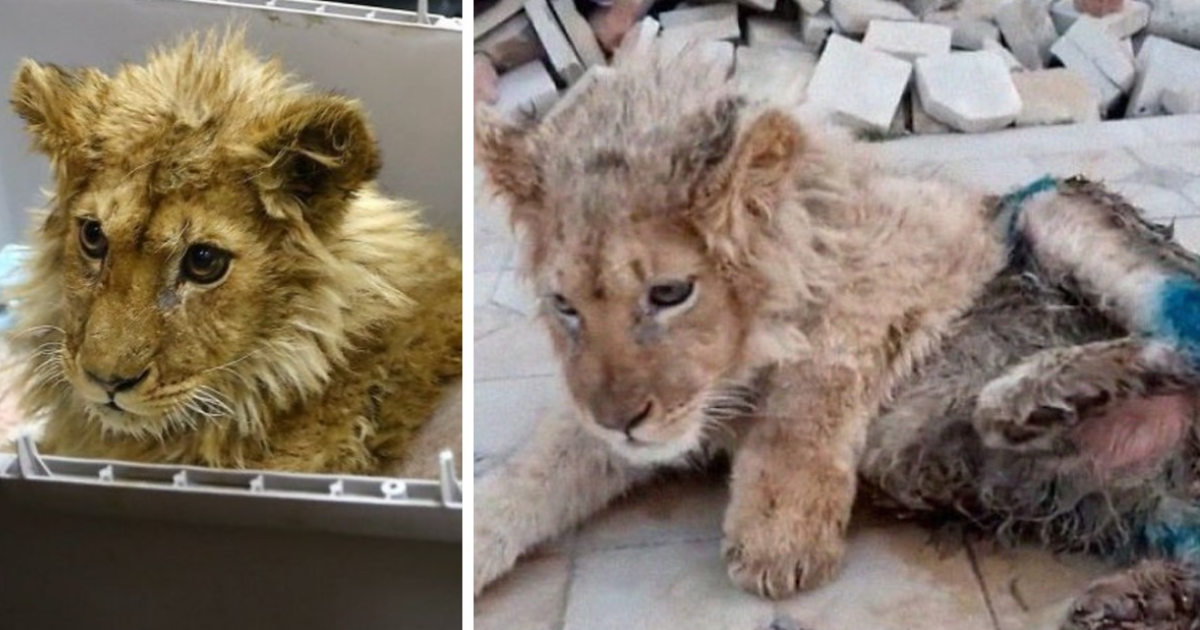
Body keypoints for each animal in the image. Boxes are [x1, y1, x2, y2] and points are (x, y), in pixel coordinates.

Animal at [475, 52, 1200, 629]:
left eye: (669, 293)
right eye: (564, 307)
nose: (620, 422)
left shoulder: (945, 236)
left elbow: (825, 357)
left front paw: (780, 526)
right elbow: (534, 475)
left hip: (1051, 204)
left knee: (1181, 341)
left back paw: (1049, 394)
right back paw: (1123, 593)